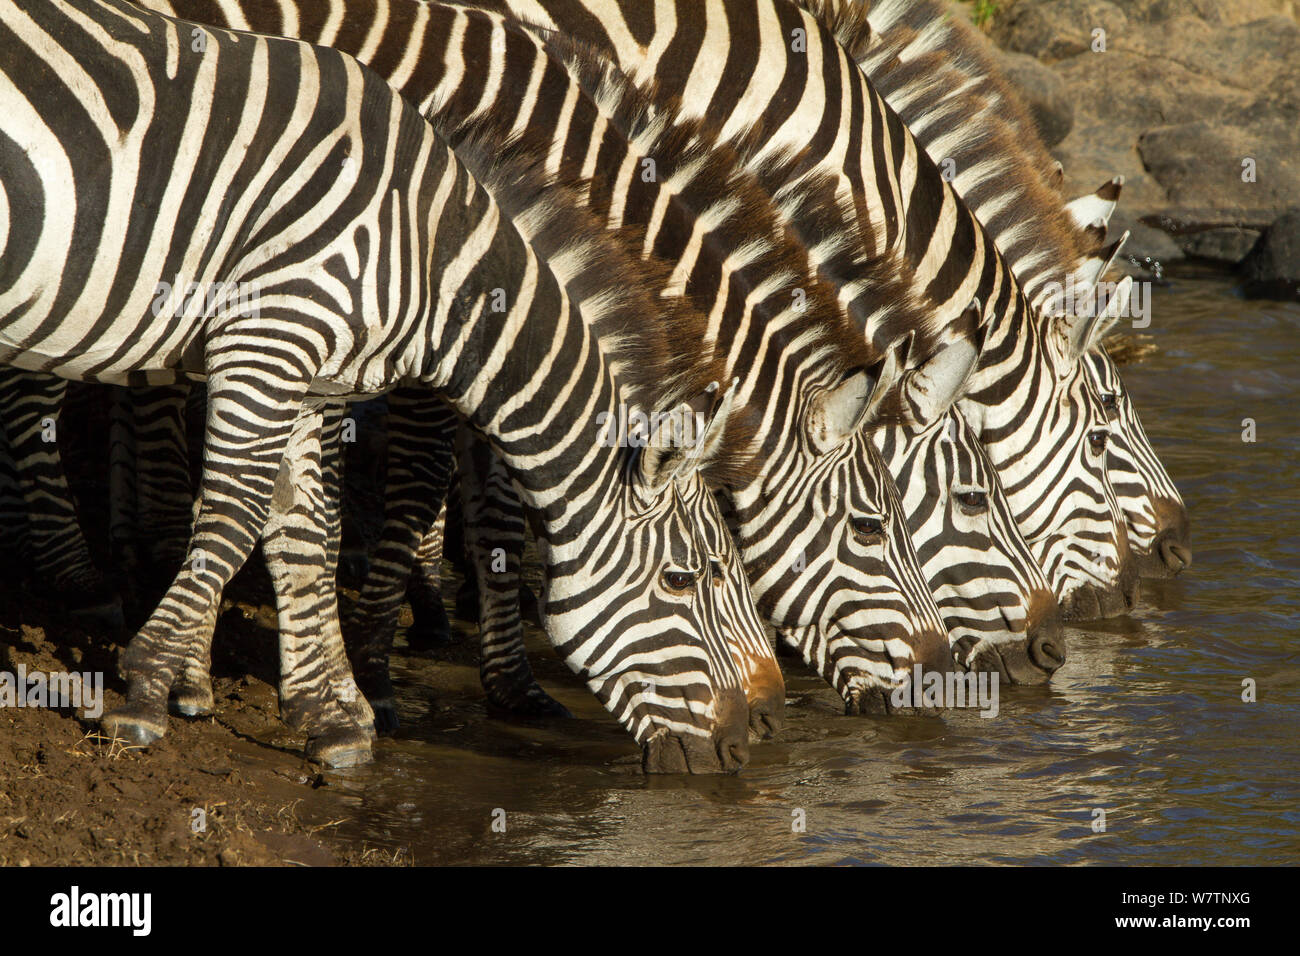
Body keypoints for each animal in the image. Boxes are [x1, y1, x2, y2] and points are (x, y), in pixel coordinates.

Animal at [0, 0, 776, 773]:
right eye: (684, 579)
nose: (746, 744)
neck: (430, 253)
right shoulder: (270, 333)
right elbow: (232, 516)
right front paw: (147, 690)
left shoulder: (310, 378)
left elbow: (305, 531)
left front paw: (333, 717)